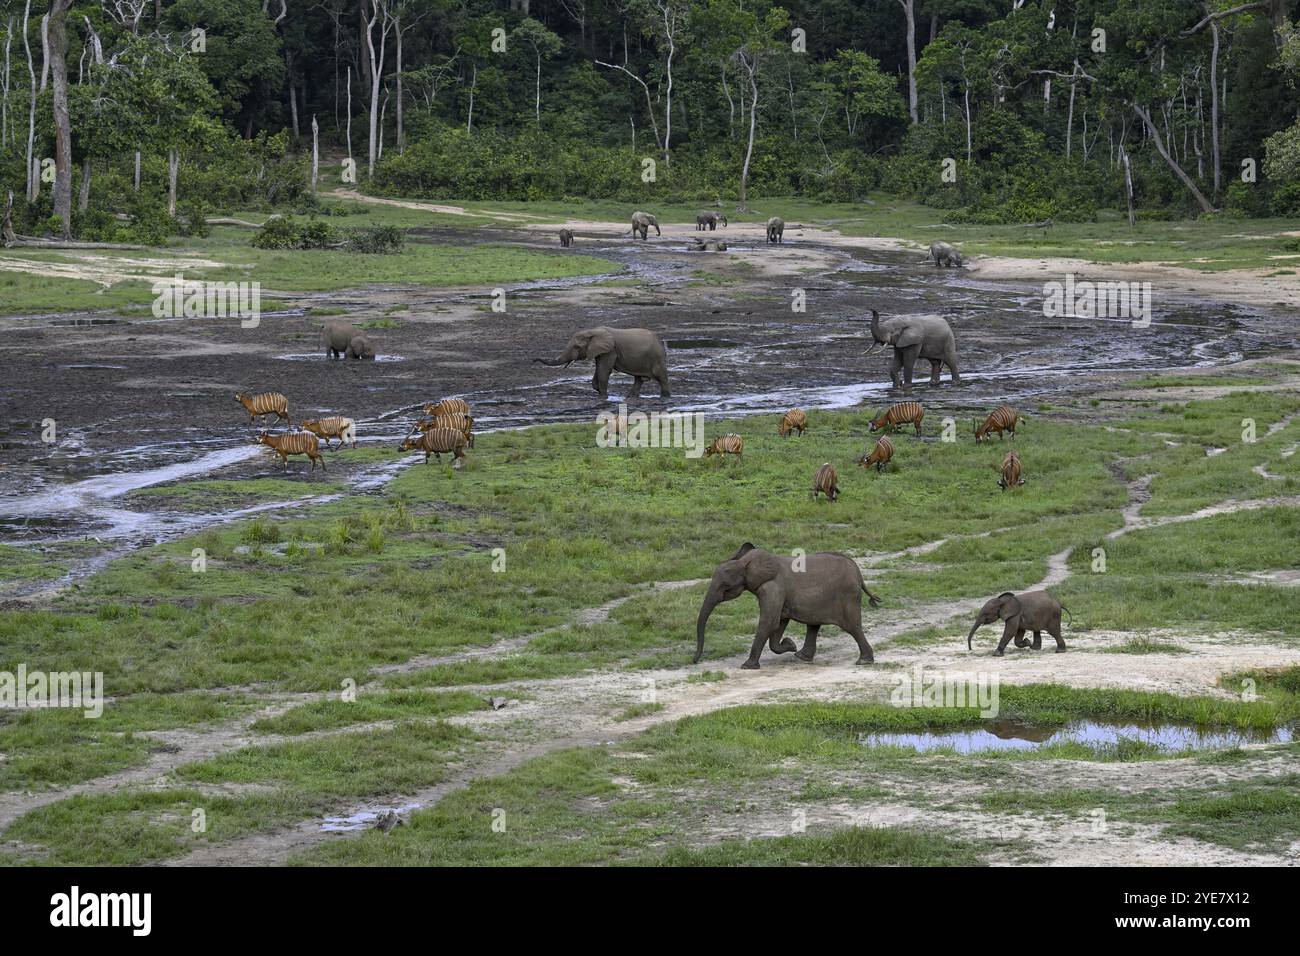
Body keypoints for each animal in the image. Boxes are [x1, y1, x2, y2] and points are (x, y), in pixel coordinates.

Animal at [534, 326, 670, 399]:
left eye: (576, 347)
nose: (534, 360)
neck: (593, 331)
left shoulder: (610, 350)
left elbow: (604, 371)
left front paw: (604, 397)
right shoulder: (600, 351)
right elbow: (598, 370)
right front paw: (599, 391)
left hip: (657, 357)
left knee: (661, 377)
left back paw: (665, 397)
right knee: (639, 379)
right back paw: (630, 397)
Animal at [694, 543, 883, 669]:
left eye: (725, 586)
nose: (694, 661)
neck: (746, 562)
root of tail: (858, 573)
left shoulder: (773, 588)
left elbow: (769, 622)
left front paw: (747, 666)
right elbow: (779, 622)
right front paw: (790, 645)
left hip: (847, 596)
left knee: (852, 627)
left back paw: (863, 661)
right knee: (813, 625)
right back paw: (801, 656)